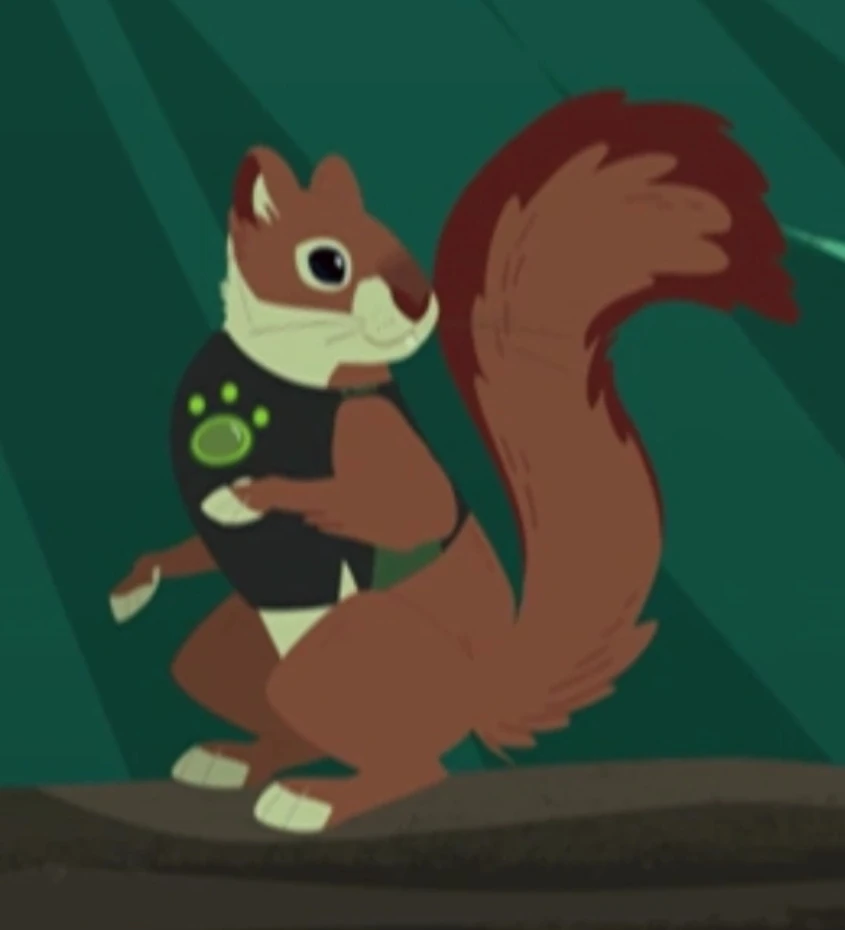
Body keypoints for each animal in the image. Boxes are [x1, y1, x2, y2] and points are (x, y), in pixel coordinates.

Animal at [110, 91, 798, 834]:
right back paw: (237, 760)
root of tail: (477, 694)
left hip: (332, 660)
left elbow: (413, 510)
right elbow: (191, 548)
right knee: (279, 719)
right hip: (229, 652)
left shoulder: (370, 429)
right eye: (326, 262)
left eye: (396, 240)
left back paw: (317, 799)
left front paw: (248, 493)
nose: (419, 300)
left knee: (412, 766)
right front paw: (137, 582)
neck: (279, 372)